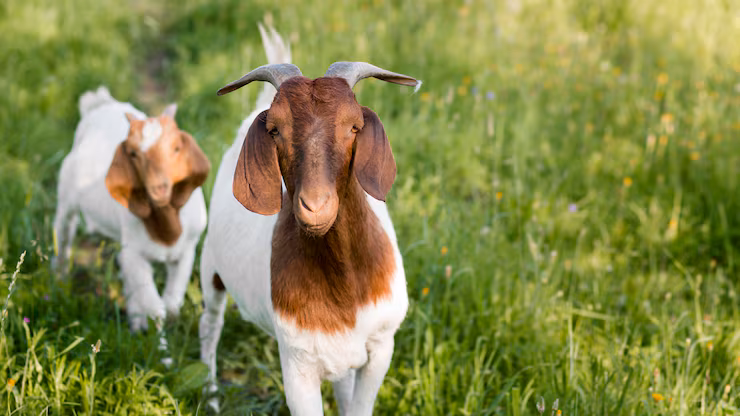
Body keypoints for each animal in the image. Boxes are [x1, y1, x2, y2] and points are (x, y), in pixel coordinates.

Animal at [53, 87, 210, 331]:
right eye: (134, 153)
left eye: (176, 148)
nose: (159, 188)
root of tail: (100, 103)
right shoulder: (135, 253)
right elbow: (155, 308)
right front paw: (153, 334)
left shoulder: (187, 250)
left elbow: (172, 304)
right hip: (66, 197)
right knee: (63, 233)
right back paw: (60, 281)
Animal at [198, 23, 419, 415]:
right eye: (275, 129)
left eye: (354, 126)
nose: (315, 206)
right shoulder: (297, 364)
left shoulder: (381, 346)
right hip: (211, 269)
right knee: (209, 325)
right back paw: (210, 396)